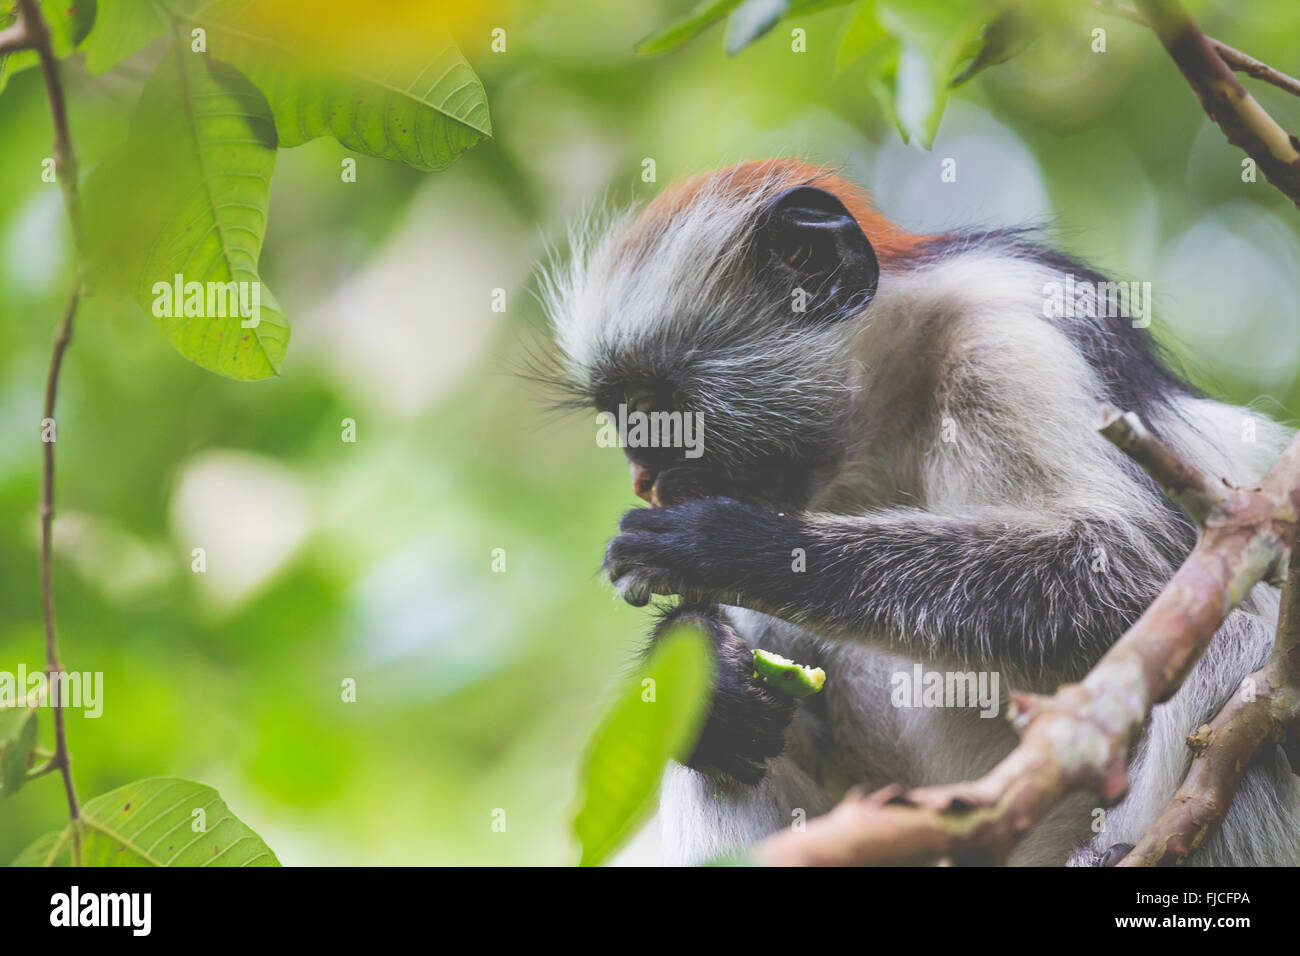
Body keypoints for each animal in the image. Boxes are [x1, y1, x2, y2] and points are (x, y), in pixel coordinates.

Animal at [540, 158, 1300, 866]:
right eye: (623, 415)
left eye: (652, 409)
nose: (643, 480)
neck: (887, 412)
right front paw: (701, 657)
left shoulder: (1008, 337)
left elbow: (1134, 567)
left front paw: (725, 544)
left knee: (1234, 648)